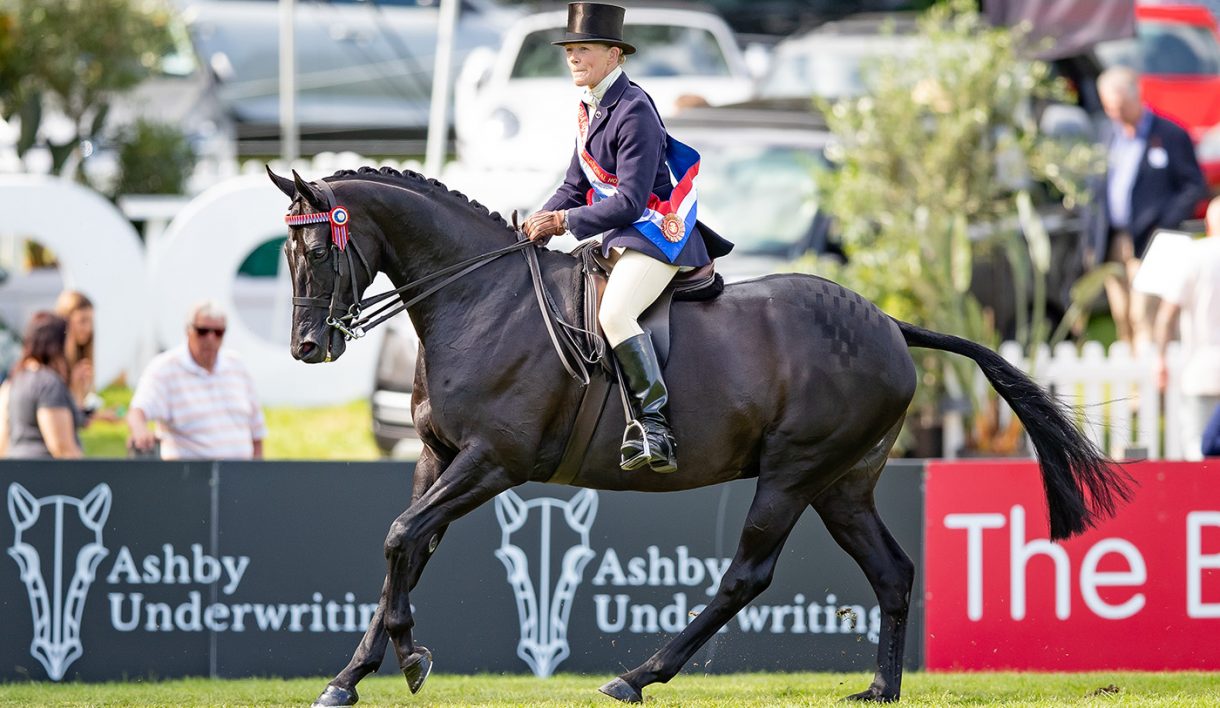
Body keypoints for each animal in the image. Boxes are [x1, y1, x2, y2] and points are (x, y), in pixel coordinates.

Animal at [268, 166, 1131, 706]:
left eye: (318, 250)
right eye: (287, 253)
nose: (307, 348)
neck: (481, 300)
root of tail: (890, 322)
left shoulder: (494, 462)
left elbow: (400, 537)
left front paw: (409, 658)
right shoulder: (439, 458)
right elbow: (404, 550)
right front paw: (353, 676)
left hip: (791, 475)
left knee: (746, 577)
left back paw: (639, 677)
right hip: (843, 485)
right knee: (892, 571)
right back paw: (881, 689)